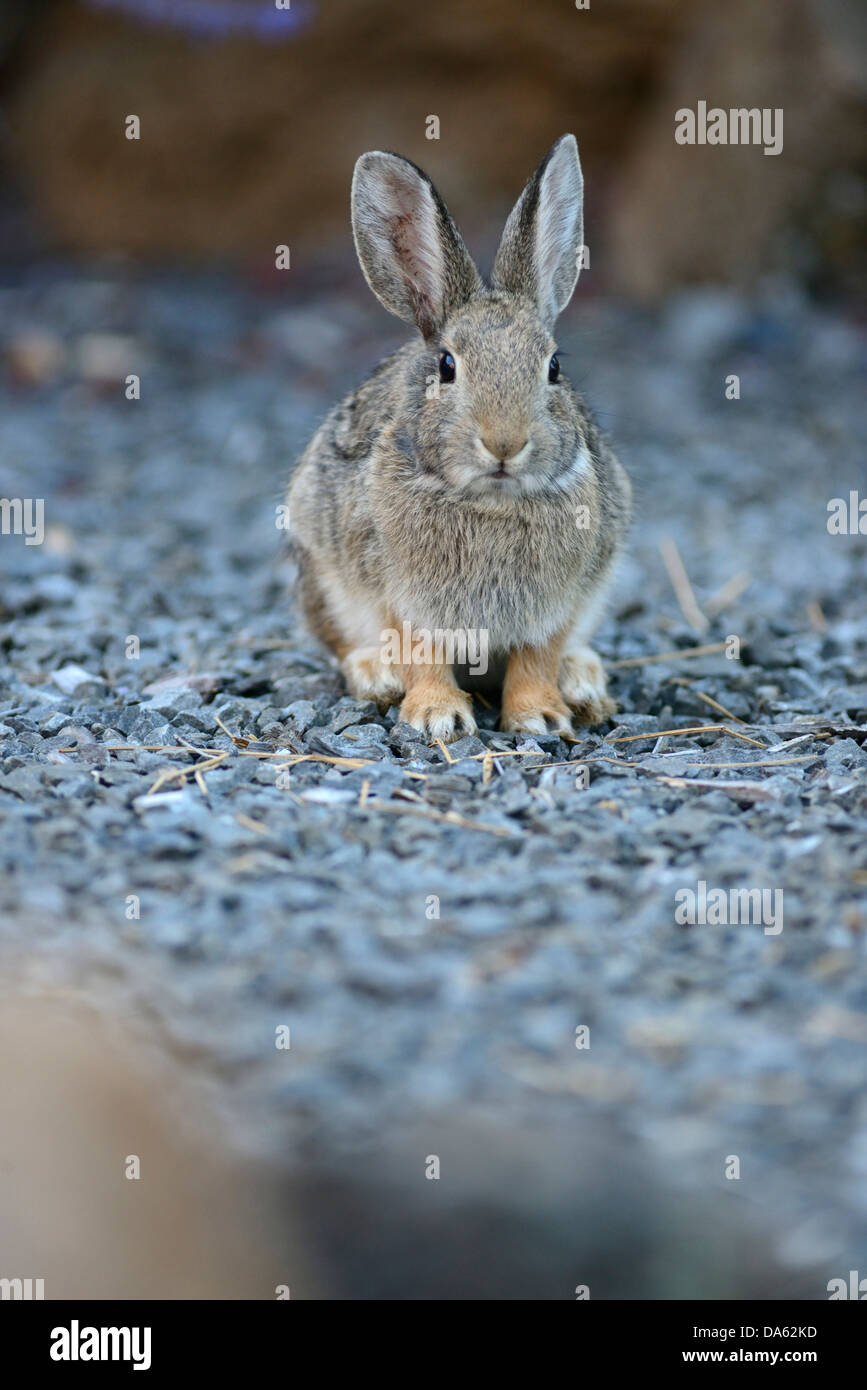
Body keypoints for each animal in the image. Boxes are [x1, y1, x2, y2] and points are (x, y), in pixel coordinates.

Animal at [287, 135, 633, 745]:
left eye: (554, 367)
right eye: (447, 366)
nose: (504, 444)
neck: (491, 501)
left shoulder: (557, 603)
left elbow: (538, 656)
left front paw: (540, 717)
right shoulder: (405, 598)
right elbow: (420, 652)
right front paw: (437, 717)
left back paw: (584, 684)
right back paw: (376, 675)